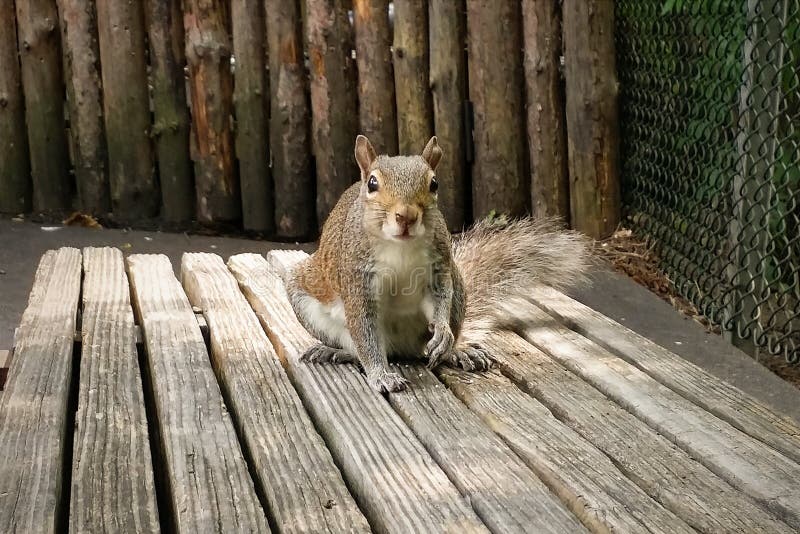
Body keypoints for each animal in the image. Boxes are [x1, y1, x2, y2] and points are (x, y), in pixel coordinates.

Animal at [286, 134, 590, 393]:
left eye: (434, 184)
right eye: (372, 183)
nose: (406, 216)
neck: (400, 247)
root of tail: (402, 347)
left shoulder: (440, 268)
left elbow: (440, 298)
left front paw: (443, 332)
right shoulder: (356, 278)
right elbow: (366, 332)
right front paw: (381, 375)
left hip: (459, 291)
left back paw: (456, 350)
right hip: (307, 300)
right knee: (356, 345)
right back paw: (336, 351)